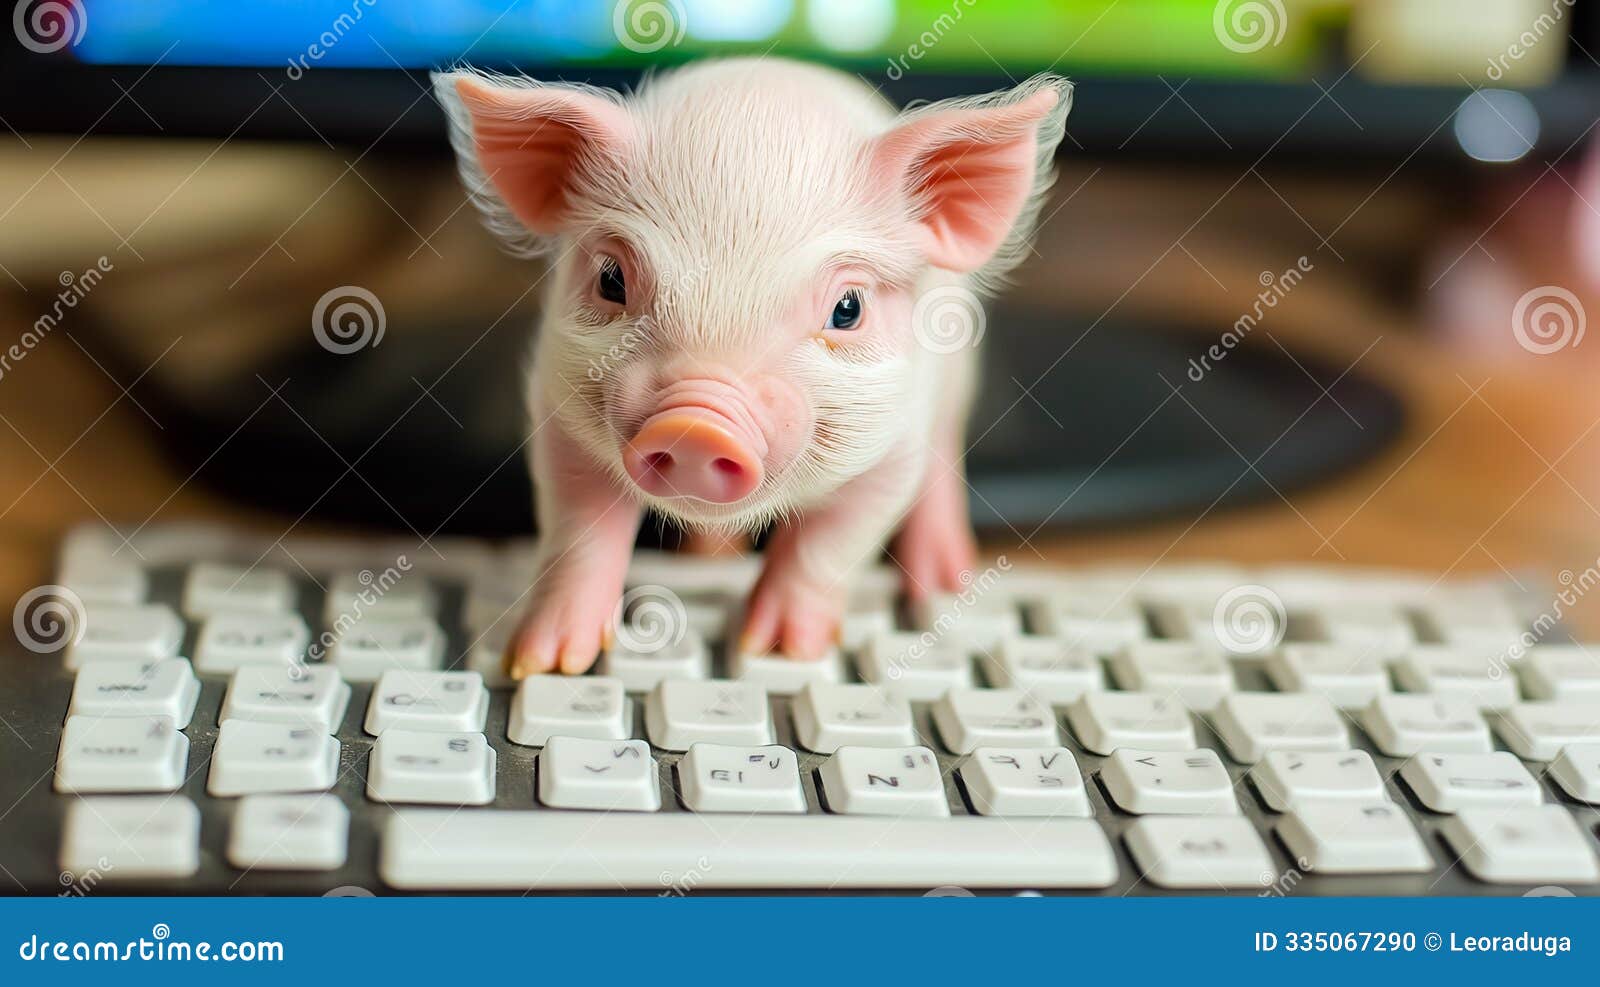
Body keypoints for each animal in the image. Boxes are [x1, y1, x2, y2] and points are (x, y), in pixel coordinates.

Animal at [432, 57, 1071, 678]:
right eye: (611, 280)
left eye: (848, 308)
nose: (696, 423)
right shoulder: (557, 408)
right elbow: (578, 526)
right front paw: (544, 663)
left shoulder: (896, 443)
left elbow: (832, 541)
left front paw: (777, 652)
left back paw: (945, 581)